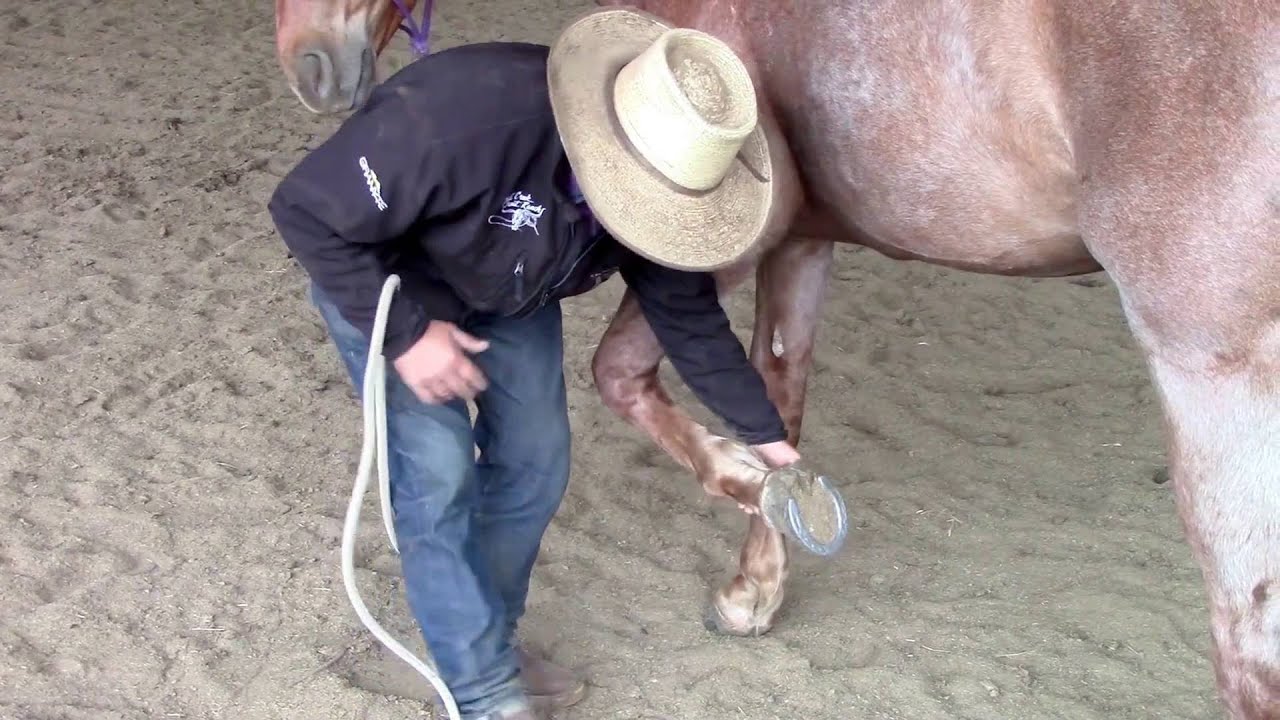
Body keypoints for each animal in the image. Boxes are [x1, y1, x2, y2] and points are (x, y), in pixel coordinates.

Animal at [272, 0, 1279, 716]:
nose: (310, 62)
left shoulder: (718, 244)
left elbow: (623, 374)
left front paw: (745, 487)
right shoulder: (801, 240)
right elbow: (779, 391)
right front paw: (761, 572)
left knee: (1247, 651)